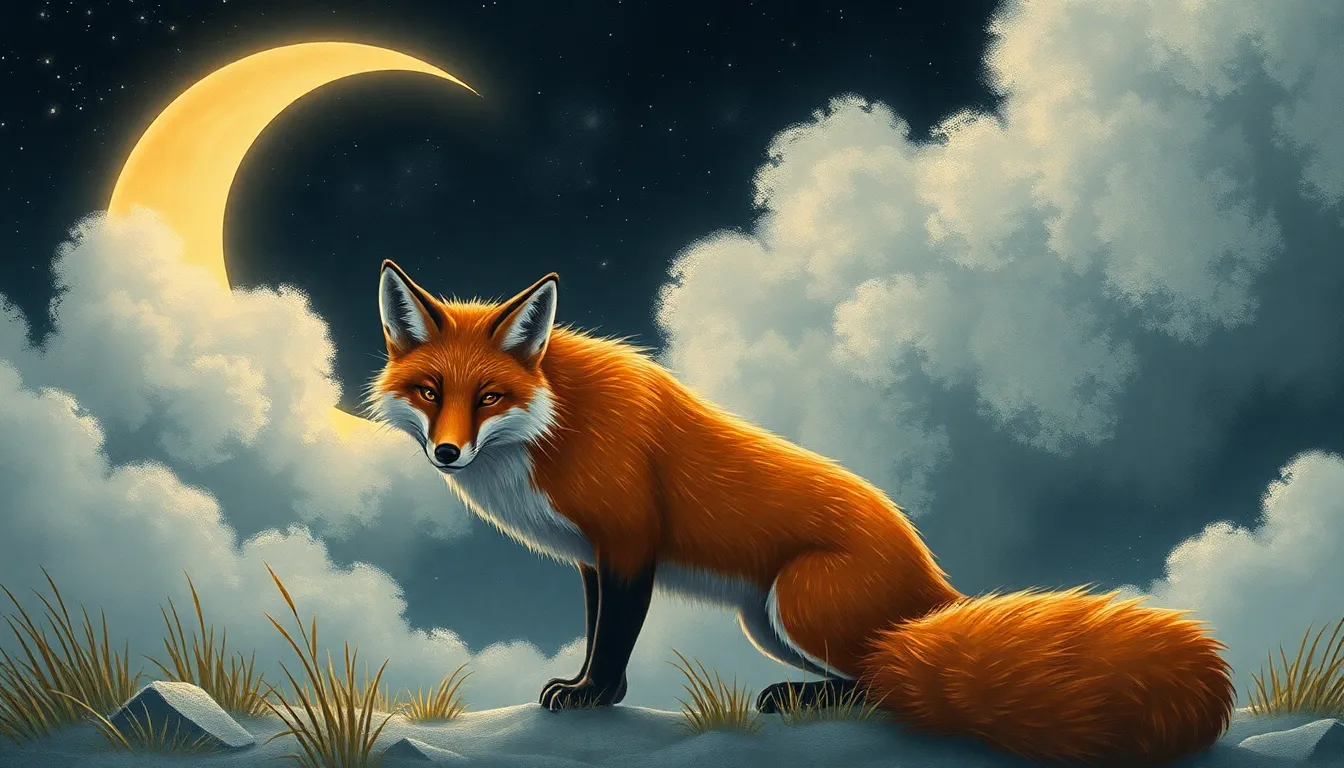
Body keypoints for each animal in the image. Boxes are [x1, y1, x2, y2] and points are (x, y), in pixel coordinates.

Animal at [365, 260, 1235, 766]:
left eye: (489, 396)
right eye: (429, 392)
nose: (447, 453)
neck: (554, 423)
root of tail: (939, 584)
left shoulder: (630, 540)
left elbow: (615, 637)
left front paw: (596, 697)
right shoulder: (590, 556)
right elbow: (593, 631)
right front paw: (581, 686)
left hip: (801, 605)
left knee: (890, 683)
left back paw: (802, 702)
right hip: (767, 621)